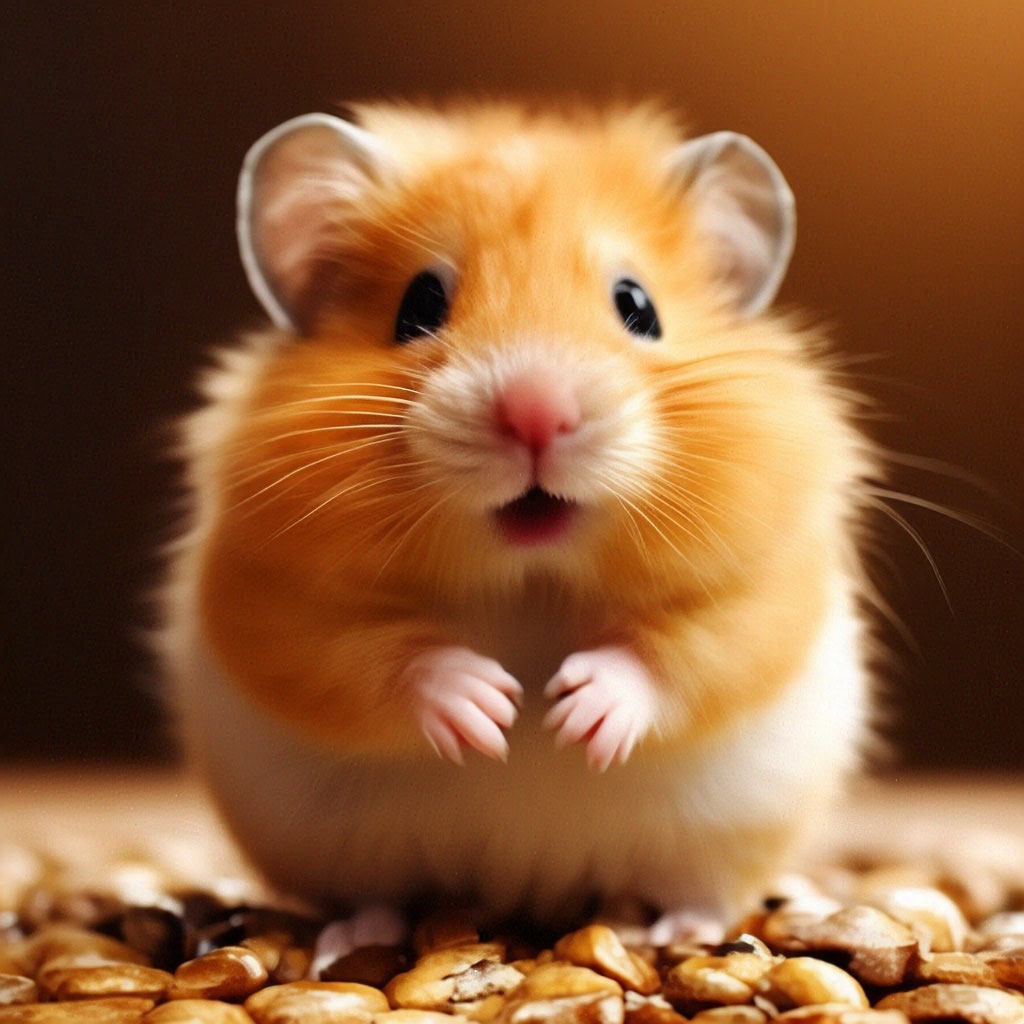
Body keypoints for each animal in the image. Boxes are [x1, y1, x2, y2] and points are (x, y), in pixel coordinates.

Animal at [163, 101, 877, 929]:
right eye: (418, 307)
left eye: (638, 307)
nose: (536, 413)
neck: (531, 578)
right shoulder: (272, 596)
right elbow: (371, 657)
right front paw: (493, 709)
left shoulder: (762, 585)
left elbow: (681, 650)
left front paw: (572, 714)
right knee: (370, 900)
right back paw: (351, 935)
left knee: (701, 893)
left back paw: (684, 930)